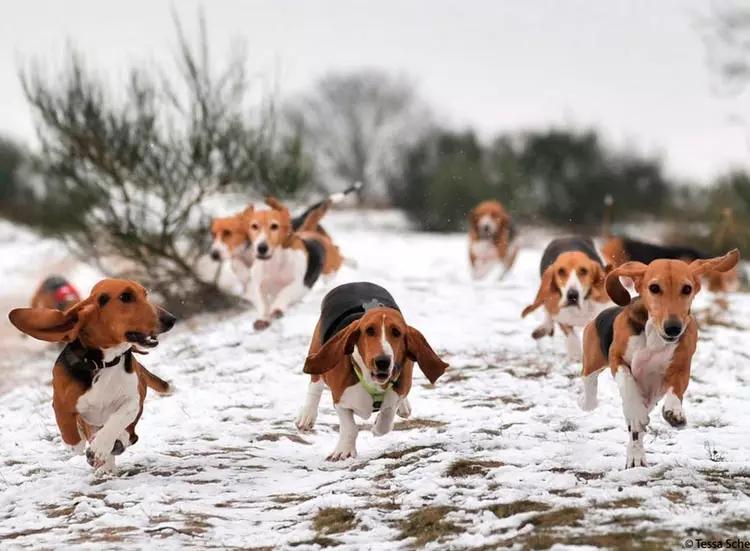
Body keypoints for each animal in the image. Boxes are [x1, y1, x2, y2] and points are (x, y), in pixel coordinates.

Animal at [8, 280, 178, 474]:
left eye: (146, 294)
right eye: (126, 297)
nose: (170, 319)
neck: (103, 362)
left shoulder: (132, 400)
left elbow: (117, 421)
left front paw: (99, 448)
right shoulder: (61, 402)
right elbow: (68, 428)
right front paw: (77, 445)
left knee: (130, 434)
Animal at [248, 198, 348, 328]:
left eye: (274, 226)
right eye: (254, 226)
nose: (262, 248)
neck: (274, 261)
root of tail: (308, 232)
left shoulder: (298, 284)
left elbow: (285, 292)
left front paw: (277, 308)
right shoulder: (258, 286)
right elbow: (262, 303)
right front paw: (262, 319)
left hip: (330, 270)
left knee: (339, 258)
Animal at [296, 284, 450, 462]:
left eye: (396, 332)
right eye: (369, 331)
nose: (383, 361)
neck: (372, 382)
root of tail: (357, 283)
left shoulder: (396, 392)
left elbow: (387, 416)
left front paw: (378, 426)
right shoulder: (340, 400)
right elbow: (350, 427)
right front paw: (344, 451)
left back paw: (403, 407)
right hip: (317, 349)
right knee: (315, 384)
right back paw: (307, 416)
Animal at [580, 250, 740, 470]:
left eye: (687, 288)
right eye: (654, 288)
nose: (673, 328)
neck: (655, 334)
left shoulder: (681, 367)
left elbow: (676, 389)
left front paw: (674, 412)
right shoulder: (616, 358)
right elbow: (628, 382)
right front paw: (637, 411)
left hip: (652, 395)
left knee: (636, 428)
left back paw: (636, 456)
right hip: (593, 361)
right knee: (591, 387)